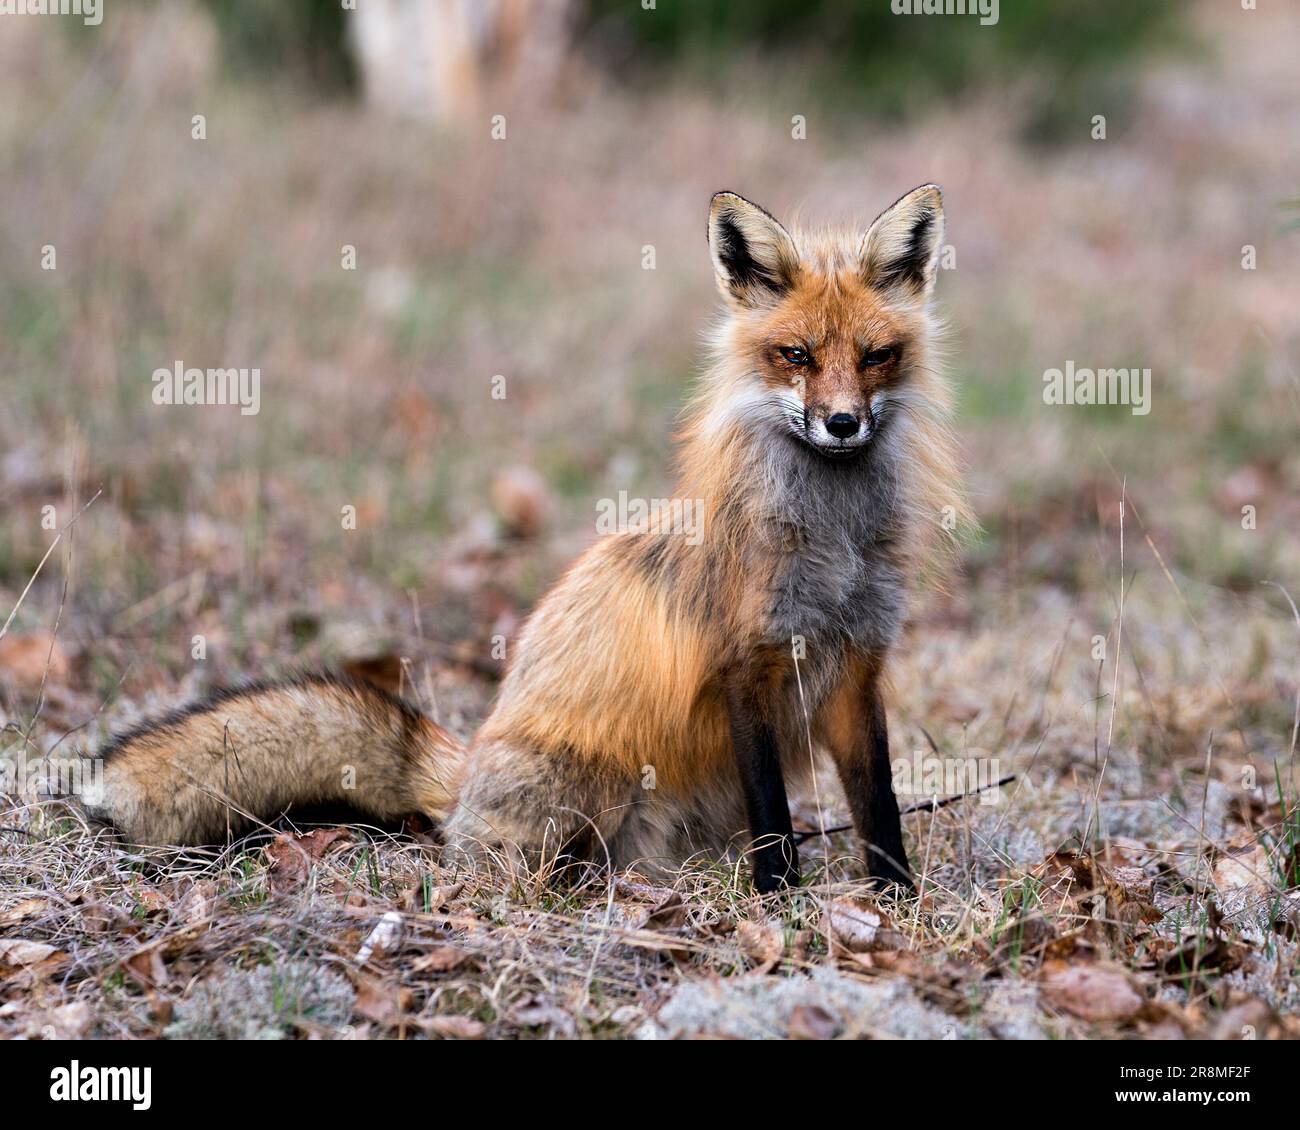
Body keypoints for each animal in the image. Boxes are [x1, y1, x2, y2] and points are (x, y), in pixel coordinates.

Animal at [86, 185, 967, 894]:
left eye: (877, 357)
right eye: (796, 356)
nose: (842, 424)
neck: (833, 546)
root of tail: (468, 763)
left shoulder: (857, 663)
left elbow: (879, 805)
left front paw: (897, 901)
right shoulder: (743, 664)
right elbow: (775, 819)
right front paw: (781, 903)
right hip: (597, 782)